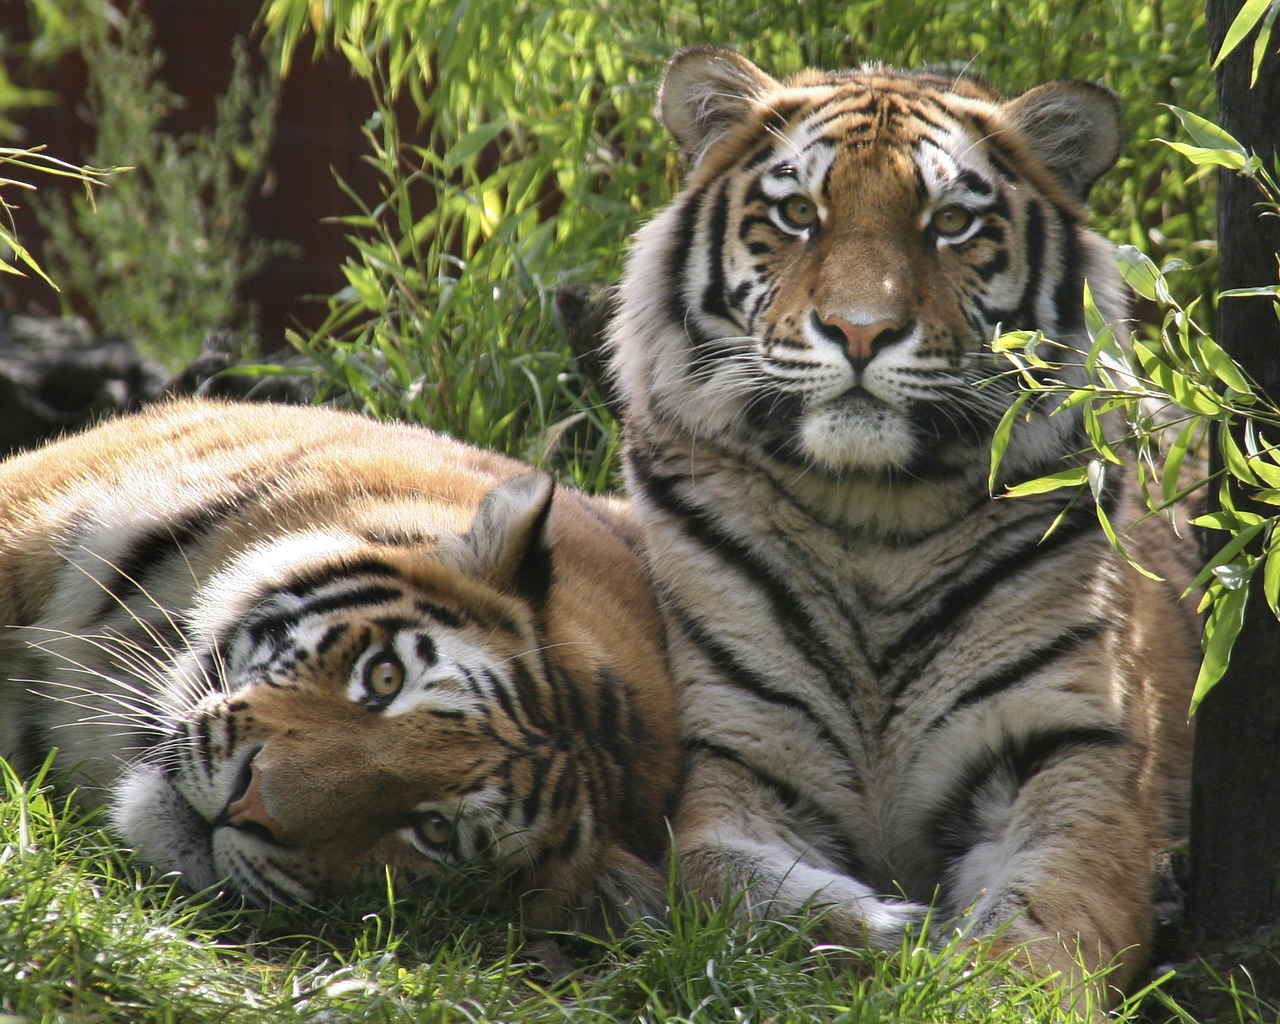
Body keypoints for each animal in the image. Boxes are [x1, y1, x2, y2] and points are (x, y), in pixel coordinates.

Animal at [605, 47, 1201, 1004]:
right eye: (798, 214)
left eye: (951, 222)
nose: (861, 331)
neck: (873, 517)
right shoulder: (738, 758)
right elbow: (738, 888)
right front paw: (899, 938)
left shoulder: (1074, 750)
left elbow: (1049, 918)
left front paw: (979, 986)